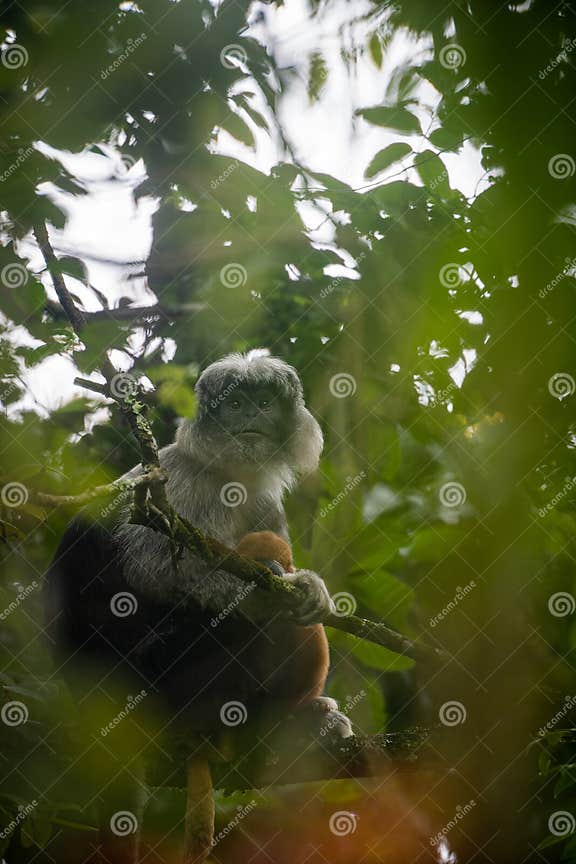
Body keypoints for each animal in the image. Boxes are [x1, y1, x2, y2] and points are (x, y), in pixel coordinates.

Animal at [45, 351, 352, 863]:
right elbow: (155, 570)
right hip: (171, 676)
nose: (250, 416)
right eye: (235, 404)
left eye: (263, 402)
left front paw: (314, 589)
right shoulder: (177, 479)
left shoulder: (264, 498)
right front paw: (291, 587)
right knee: (265, 577)